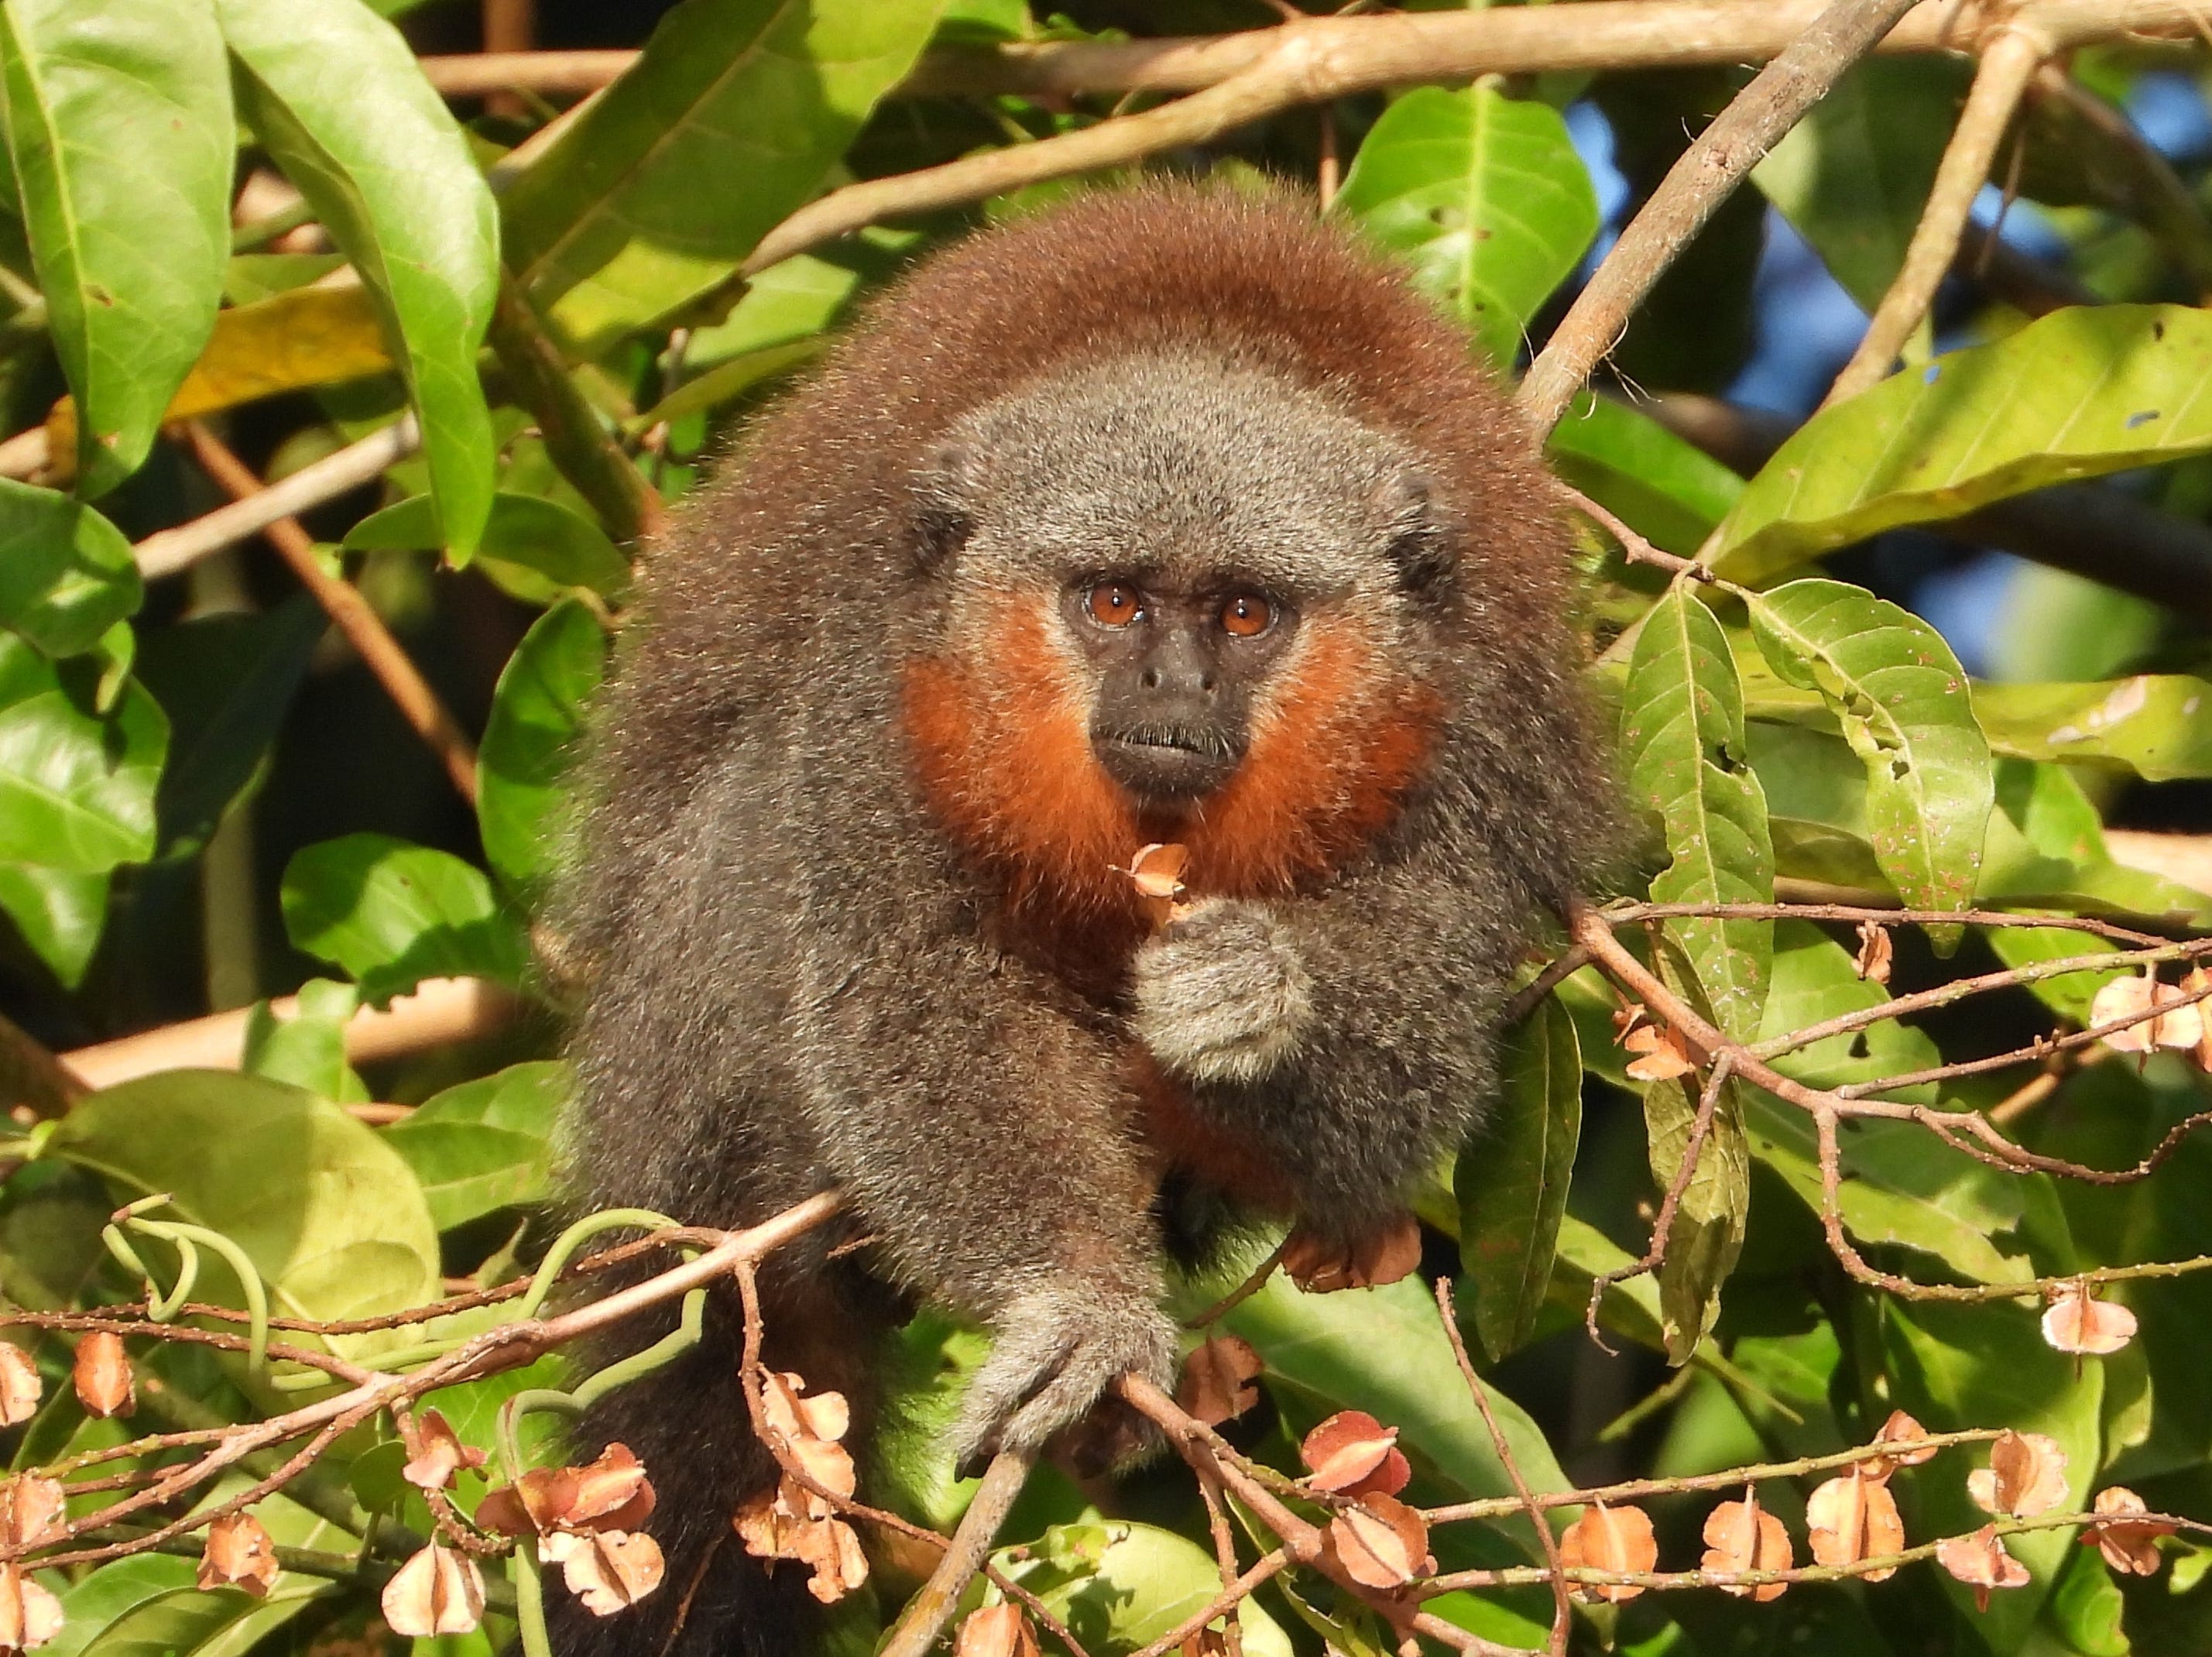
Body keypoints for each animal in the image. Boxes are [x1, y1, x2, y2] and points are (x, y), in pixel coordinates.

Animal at [553, 183, 1612, 1657]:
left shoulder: (1465, 717)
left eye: (1243, 613)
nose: (1173, 693)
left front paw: (1250, 999)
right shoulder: (884, 684)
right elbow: (910, 986)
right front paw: (1082, 1310)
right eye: (1114, 601)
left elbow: (1405, 1100)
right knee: (754, 826)